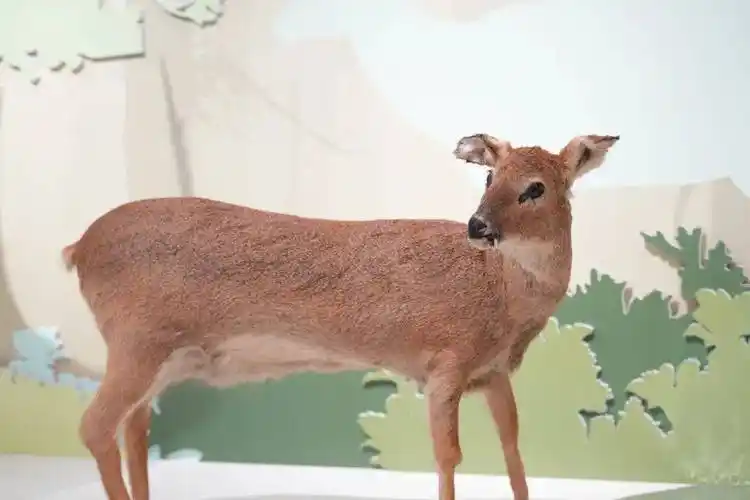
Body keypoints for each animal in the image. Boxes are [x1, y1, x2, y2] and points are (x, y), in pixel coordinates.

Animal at [62, 132, 618, 500]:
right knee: (94, 426)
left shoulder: (494, 372)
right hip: (136, 341)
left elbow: (511, 444)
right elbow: (448, 455)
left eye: (536, 187)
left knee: (133, 430)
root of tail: (78, 248)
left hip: (157, 357)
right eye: (488, 175)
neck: (501, 293)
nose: (477, 226)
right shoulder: (445, 362)